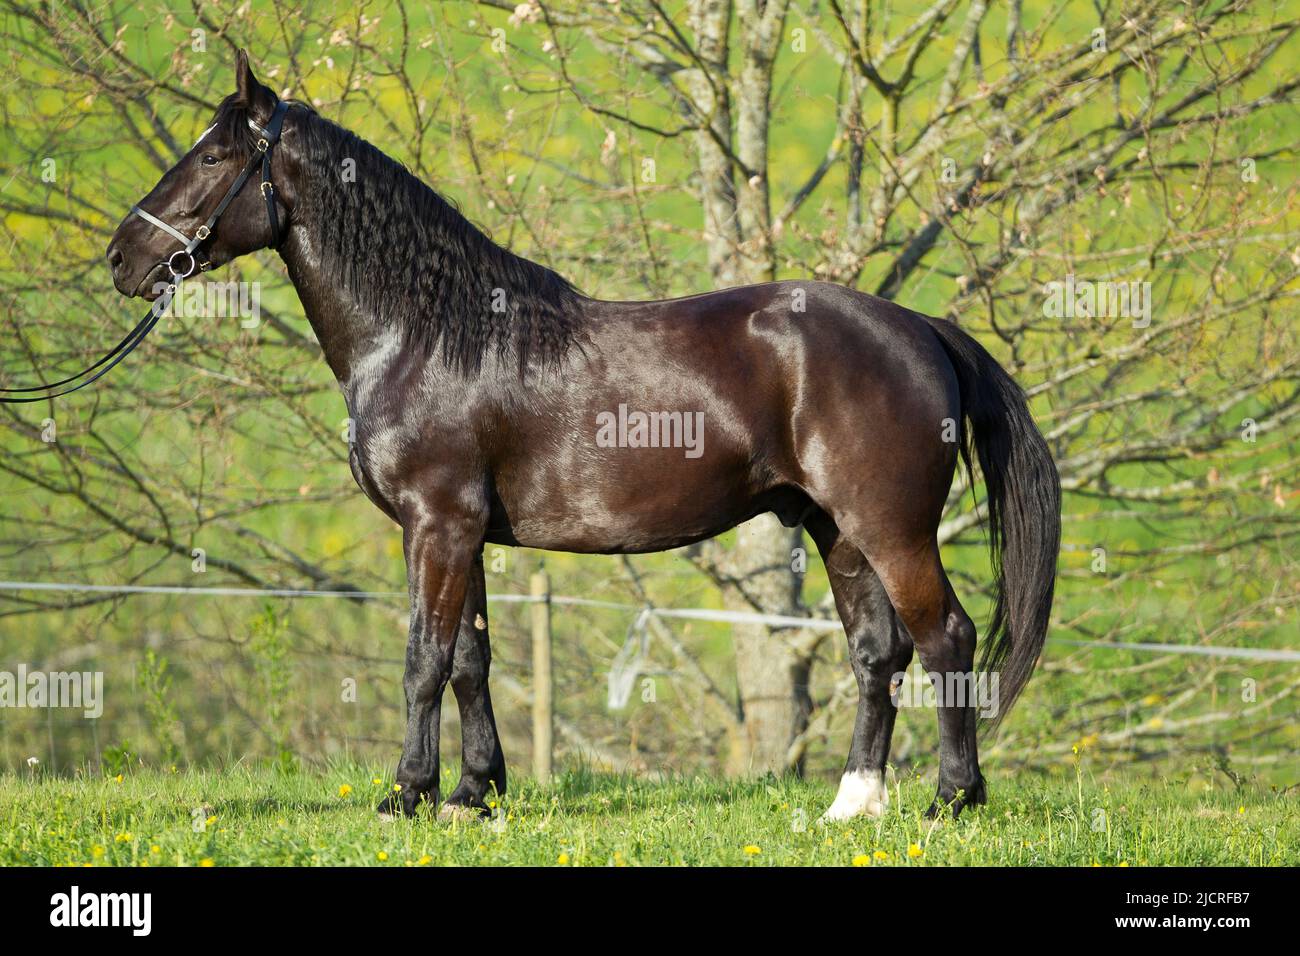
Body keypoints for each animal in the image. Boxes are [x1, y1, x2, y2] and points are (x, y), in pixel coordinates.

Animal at [106, 51, 1060, 822]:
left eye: (215, 156)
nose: (121, 257)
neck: (428, 331)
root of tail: (921, 327)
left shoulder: (436, 523)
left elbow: (423, 658)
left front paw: (406, 794)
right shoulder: (464, 533)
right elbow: (470, 662)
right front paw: (473, 793)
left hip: (890, 527)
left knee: (946, 639)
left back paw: (951, 801)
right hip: (835, 529)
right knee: (877, 652)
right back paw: (852, 807)